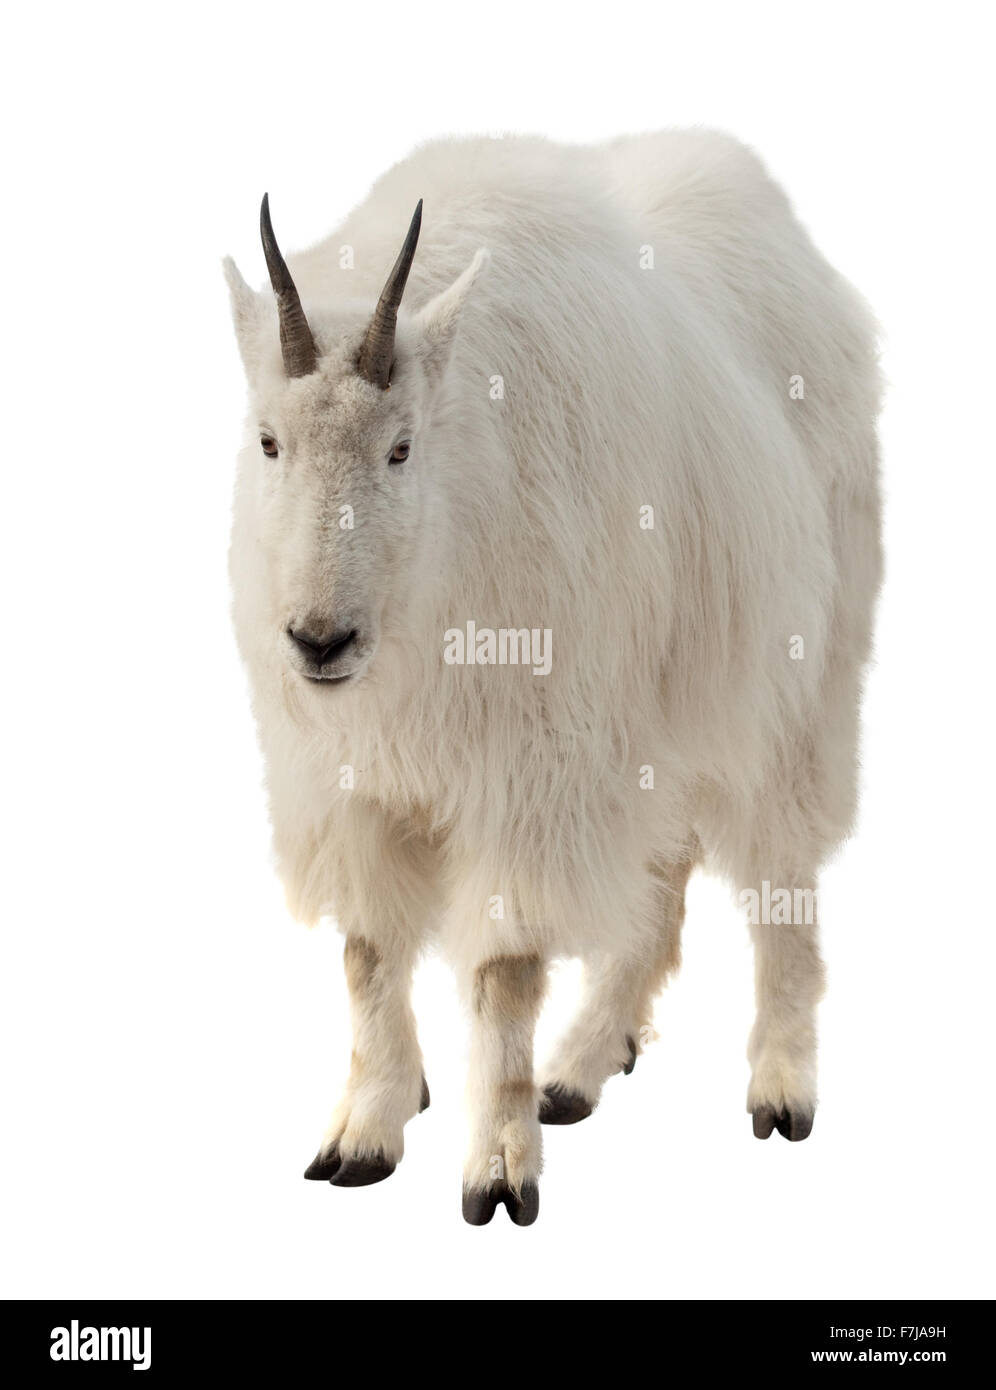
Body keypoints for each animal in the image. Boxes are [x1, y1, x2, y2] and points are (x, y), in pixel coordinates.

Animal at [224, 131, 882, 1225]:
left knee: (781, 874)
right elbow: (368, 950)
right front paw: (365, 1132)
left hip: (800, 677)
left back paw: (780, 1086)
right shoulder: (348, 780)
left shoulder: (530, 770)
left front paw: (497, 1172)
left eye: (400, 447)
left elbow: (503, 966)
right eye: (269, 441)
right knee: (660, 884)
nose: (319, 641)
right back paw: (577, 1068)